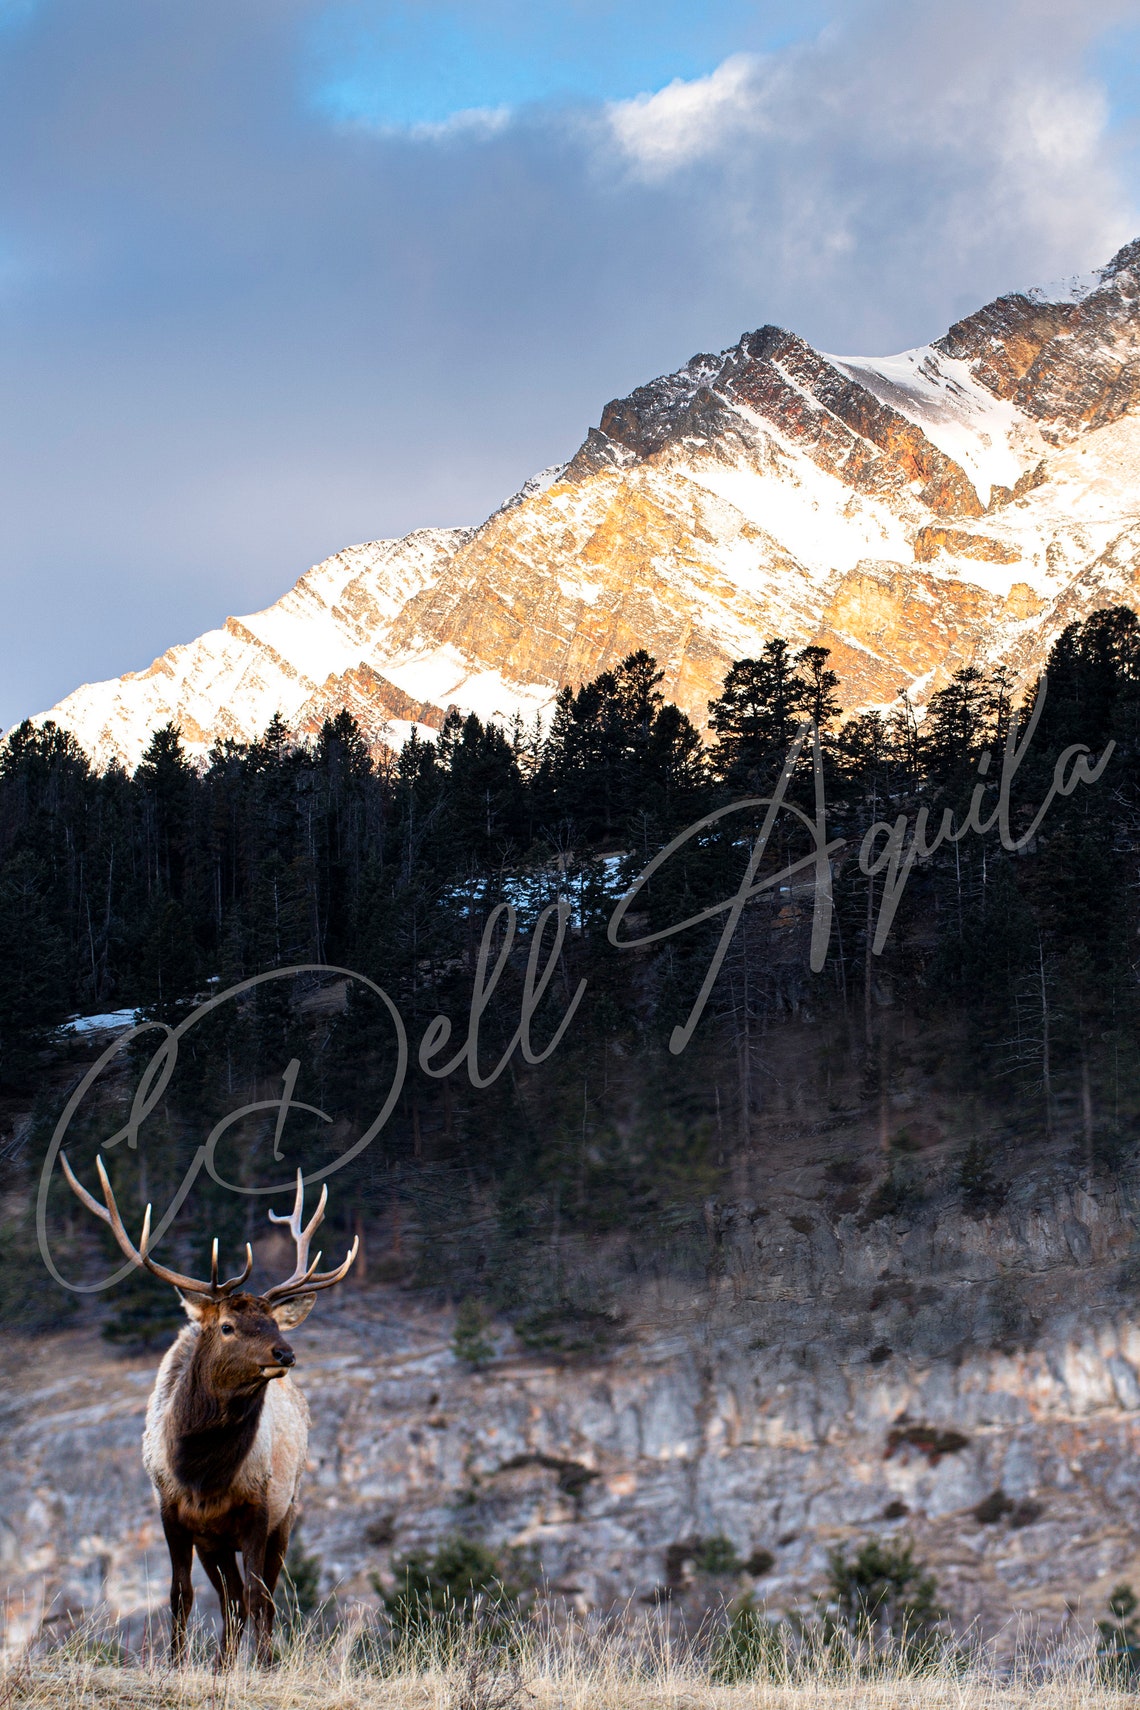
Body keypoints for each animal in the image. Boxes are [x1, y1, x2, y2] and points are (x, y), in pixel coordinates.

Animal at [61, 1154, 358, 1665]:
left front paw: (264, 1667)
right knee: (230, 1599)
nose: (285, 1353)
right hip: (214, 1543)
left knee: (258, 1599)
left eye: (272, 1321)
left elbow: (261, 1598)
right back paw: (221, 1668)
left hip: (287, 1511)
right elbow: (181, 1595)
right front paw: (176, 1665)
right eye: (226, 1326)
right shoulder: (173, 1513)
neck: (202, 1472)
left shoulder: (260, 1508)